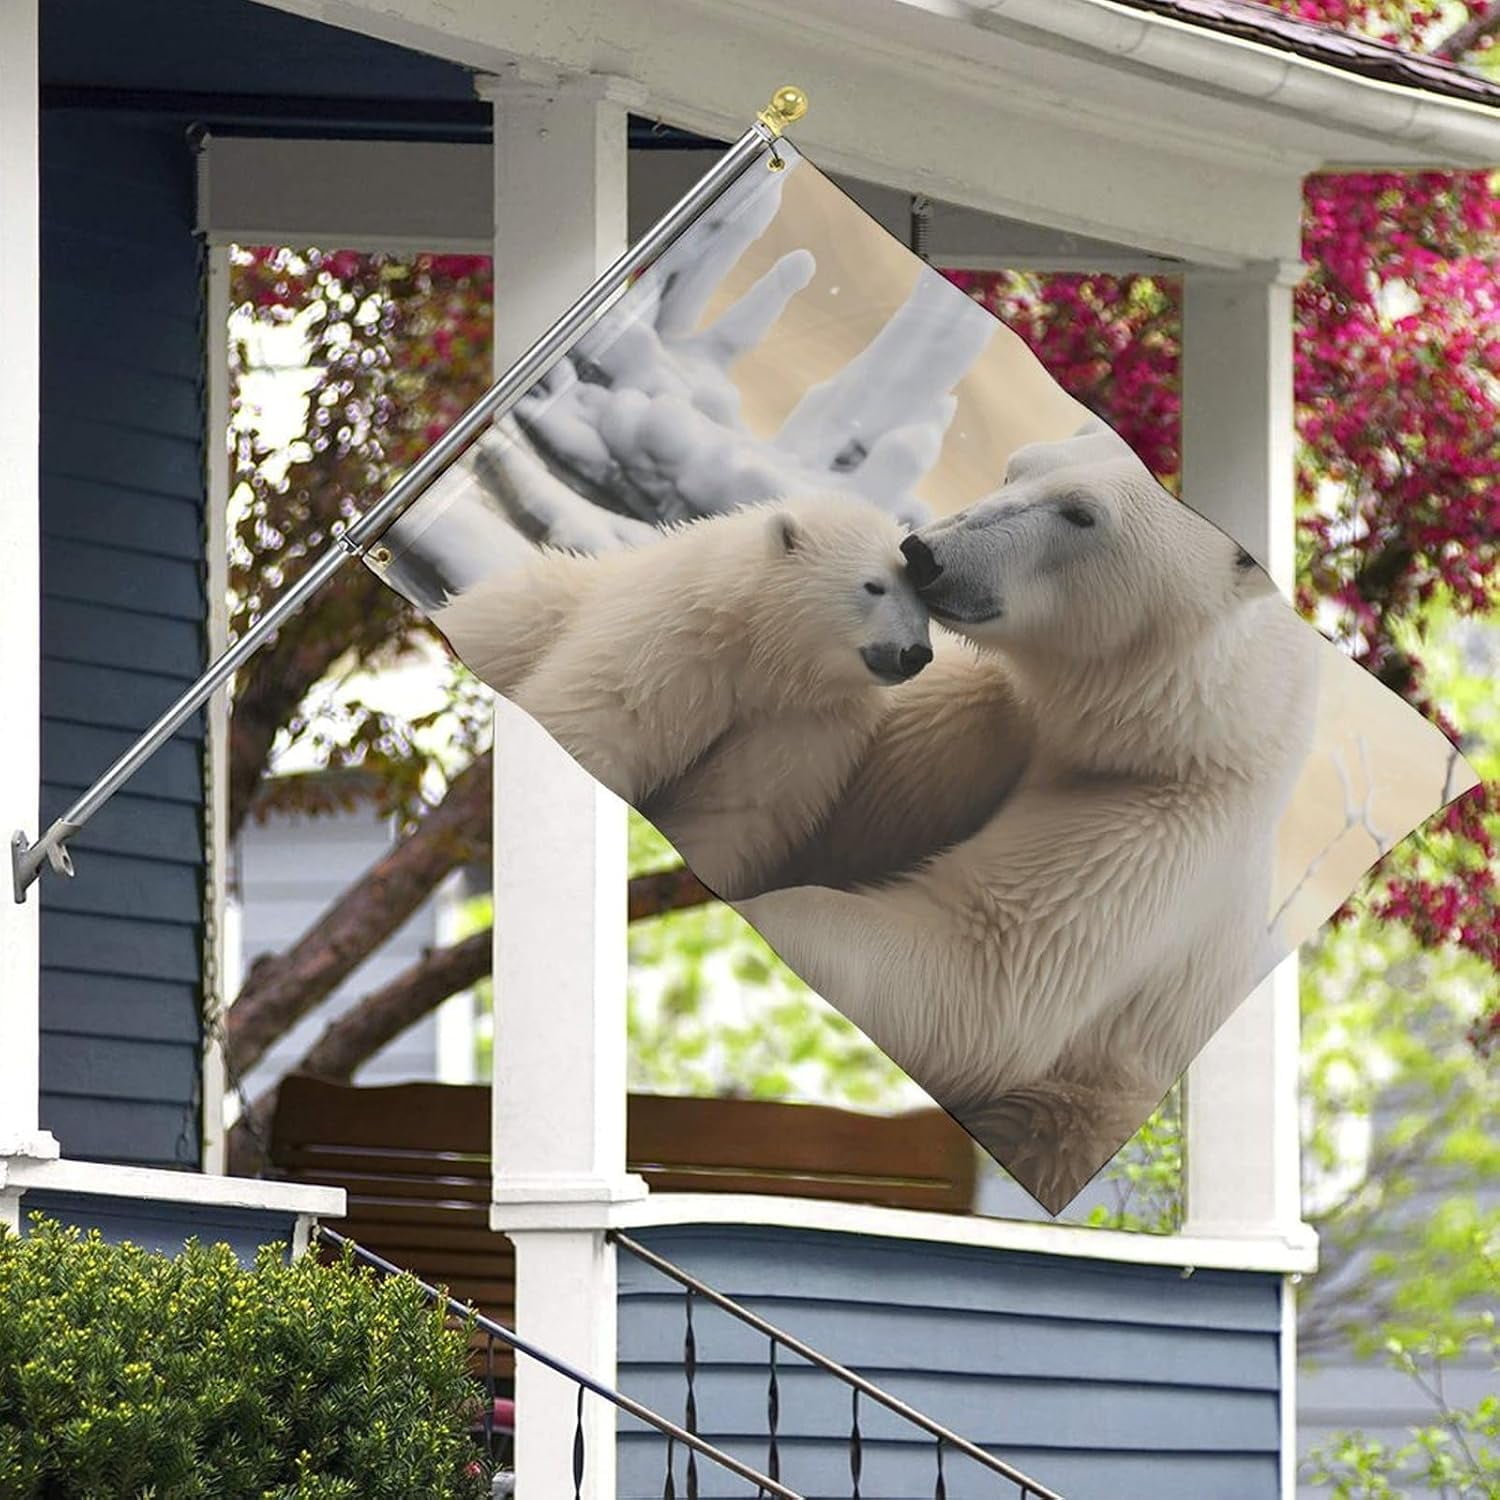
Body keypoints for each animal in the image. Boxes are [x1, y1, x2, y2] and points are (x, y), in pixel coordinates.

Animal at [432, 491, 934, 900]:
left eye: (925, 605)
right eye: (873, 585)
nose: (916, 654)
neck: (764, 655)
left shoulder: (802, 720)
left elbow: (732, 810)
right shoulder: (669, 647)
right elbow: (602, 721)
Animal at [738, 418, 1320, 1211]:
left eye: (1081, 514)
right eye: (1016, 470)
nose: (924, 555)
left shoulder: (1159, 823)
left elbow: (982, 967)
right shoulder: (987, 712)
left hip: (1078, 1112)